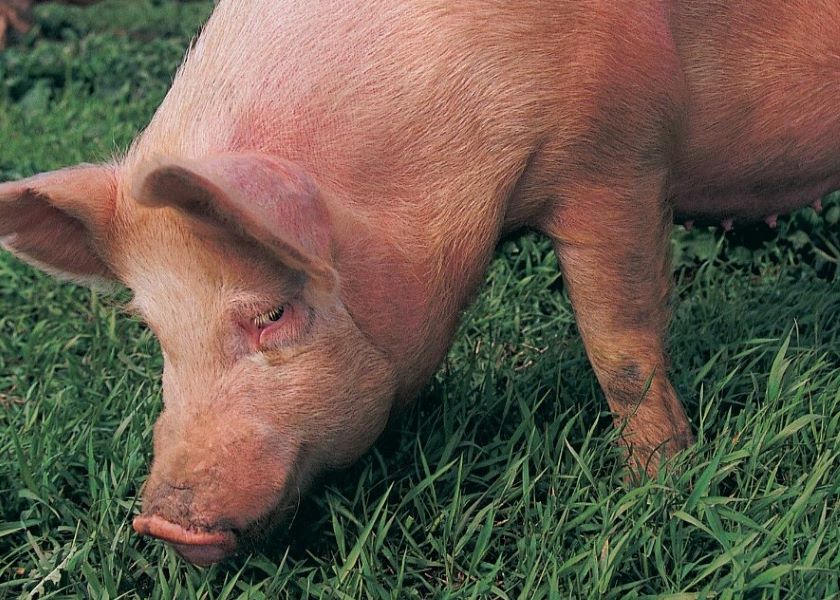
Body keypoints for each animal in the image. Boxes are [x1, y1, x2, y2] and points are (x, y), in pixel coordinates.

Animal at [1, 0, 838, 566]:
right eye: (157, 333)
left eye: (272, 313)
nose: (163, 524)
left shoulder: (617, 157)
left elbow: (620, 349)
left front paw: (654, 484)